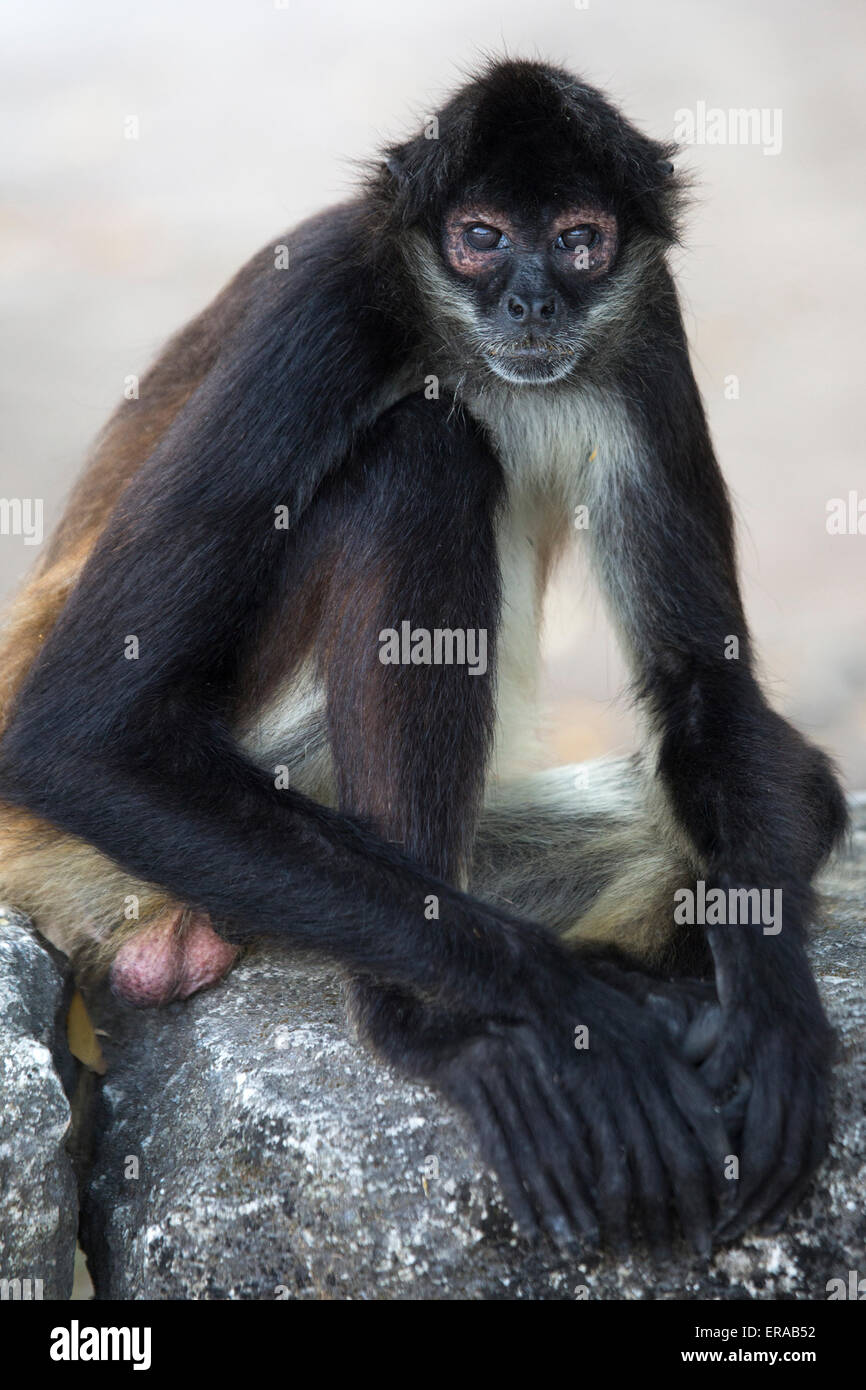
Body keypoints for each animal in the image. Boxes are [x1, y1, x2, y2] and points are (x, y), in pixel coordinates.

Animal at [0, 58, 847, 1258]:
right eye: (480, 238)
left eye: (579, 240)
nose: (531, 302)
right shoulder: (326, 305)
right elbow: (76, 735)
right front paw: (568, 1009)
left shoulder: (647, 318)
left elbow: (700, 680)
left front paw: (772, 1010)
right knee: (423, 456)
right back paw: (425, 1023)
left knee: (804, 792)